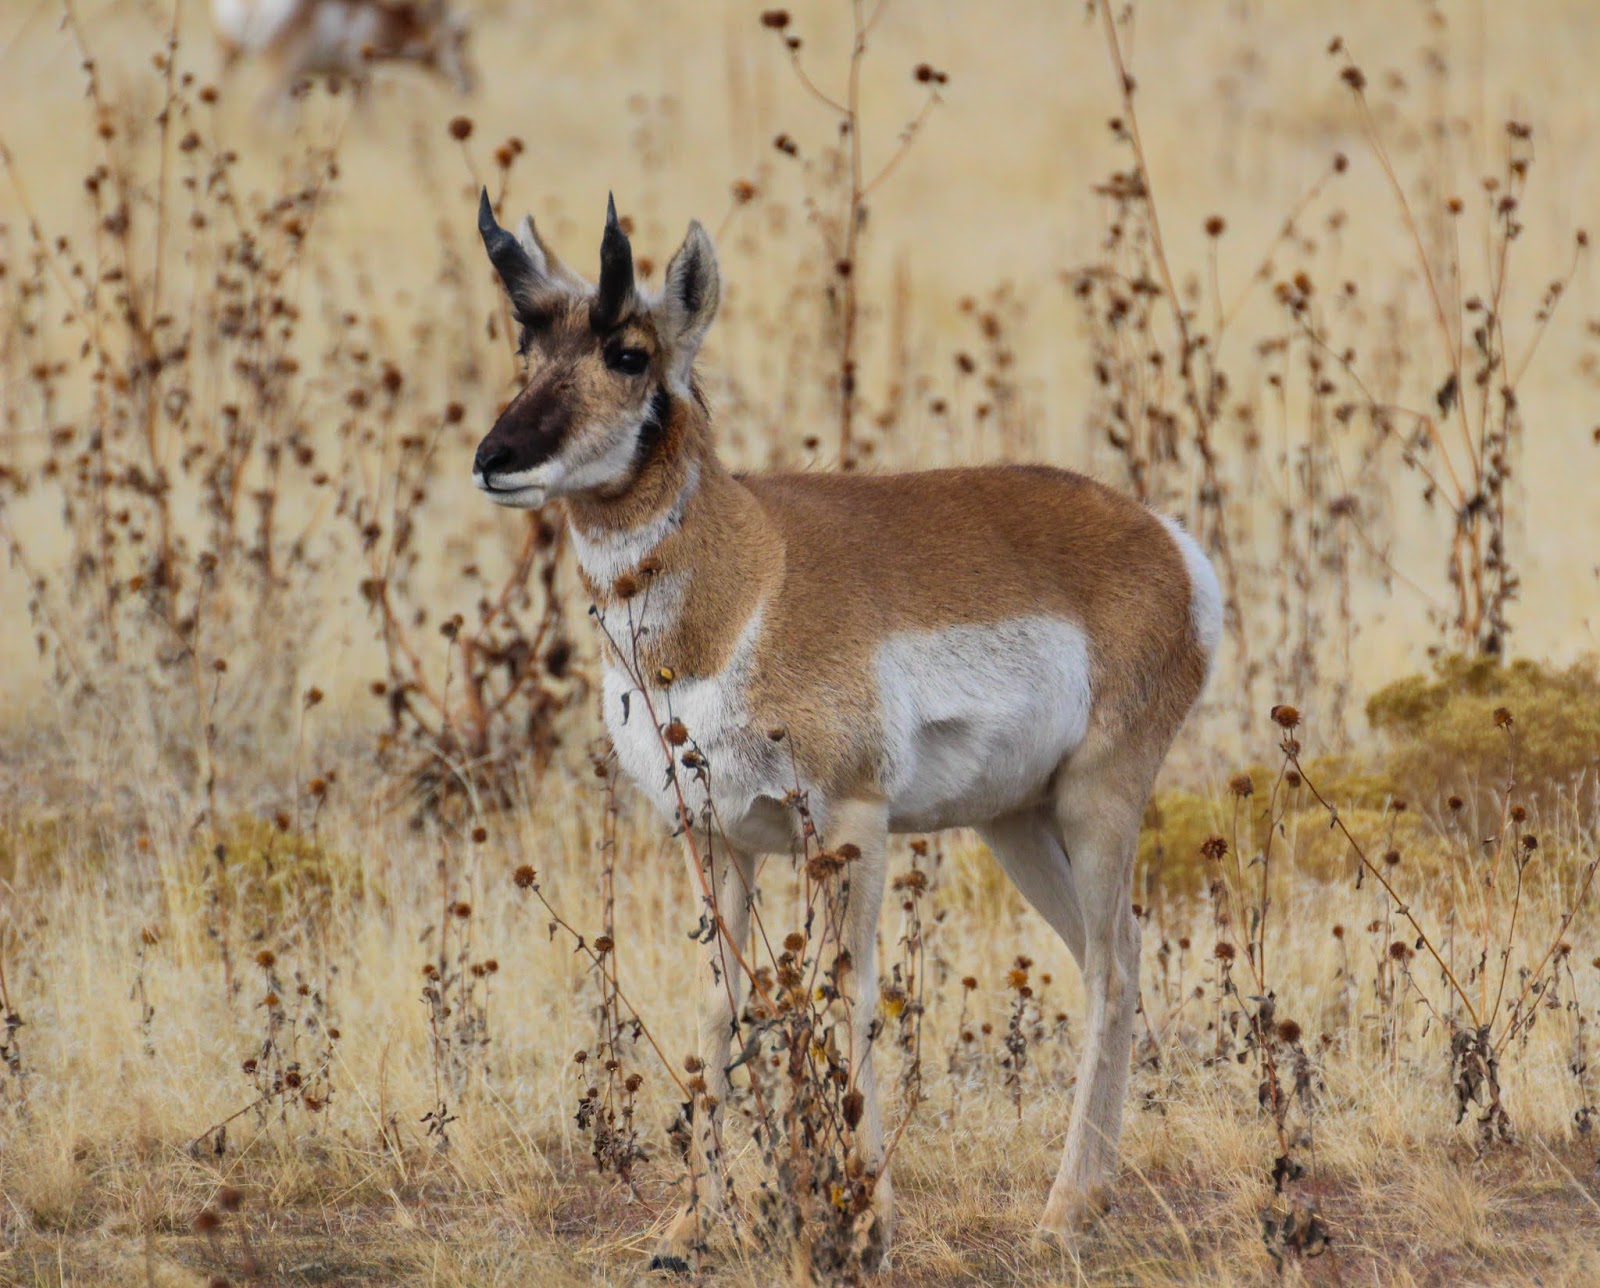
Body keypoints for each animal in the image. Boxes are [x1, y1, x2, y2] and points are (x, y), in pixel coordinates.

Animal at [471, 191, 1221, 1271]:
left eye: (628, 351)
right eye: (528, 344)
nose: (496, 459)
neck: (749, 576)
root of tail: (1167, 542)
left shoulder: (852, 826)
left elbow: (850, 995)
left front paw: (866, 1222)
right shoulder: (714, 837)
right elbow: (722, 1000)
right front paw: (689, 1227)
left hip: (1097, 800)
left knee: (1115, 966)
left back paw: (1061, 1211)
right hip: (1015, 822)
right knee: (1103, 951)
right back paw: (1090, 1199)